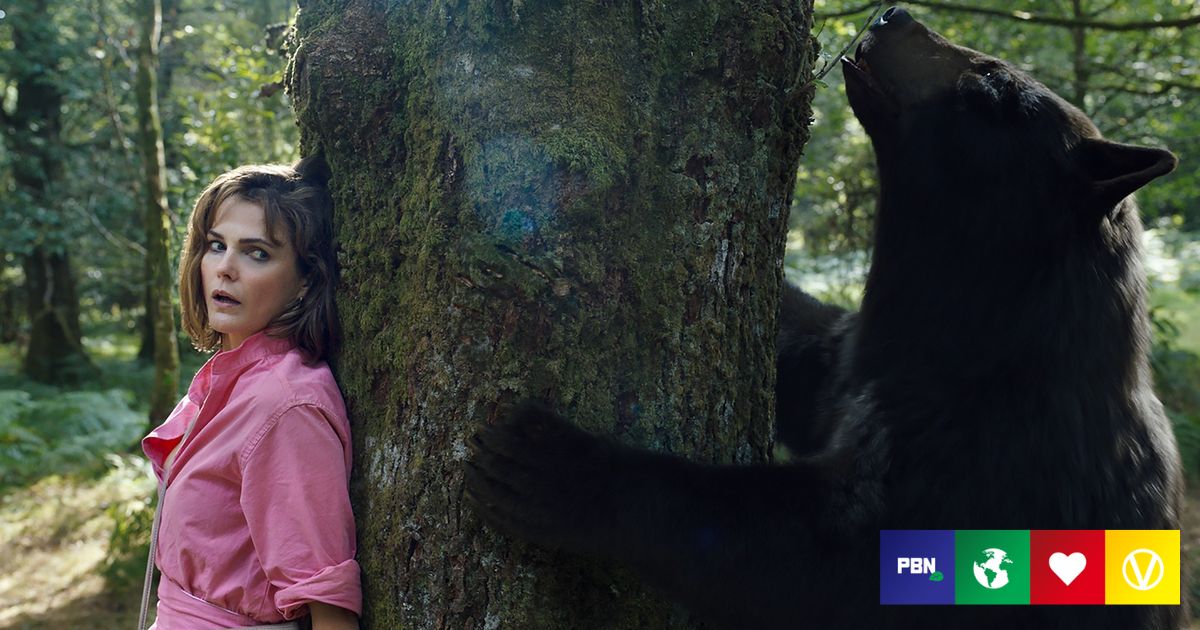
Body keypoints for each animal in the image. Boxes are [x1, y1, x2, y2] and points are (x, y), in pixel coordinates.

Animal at [466, 7, 1184, 629]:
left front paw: (561, 468)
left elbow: (805, 558)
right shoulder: (859, 361)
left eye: (992, 83)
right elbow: (808, 355)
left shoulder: (983, 468)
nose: (894, 13)